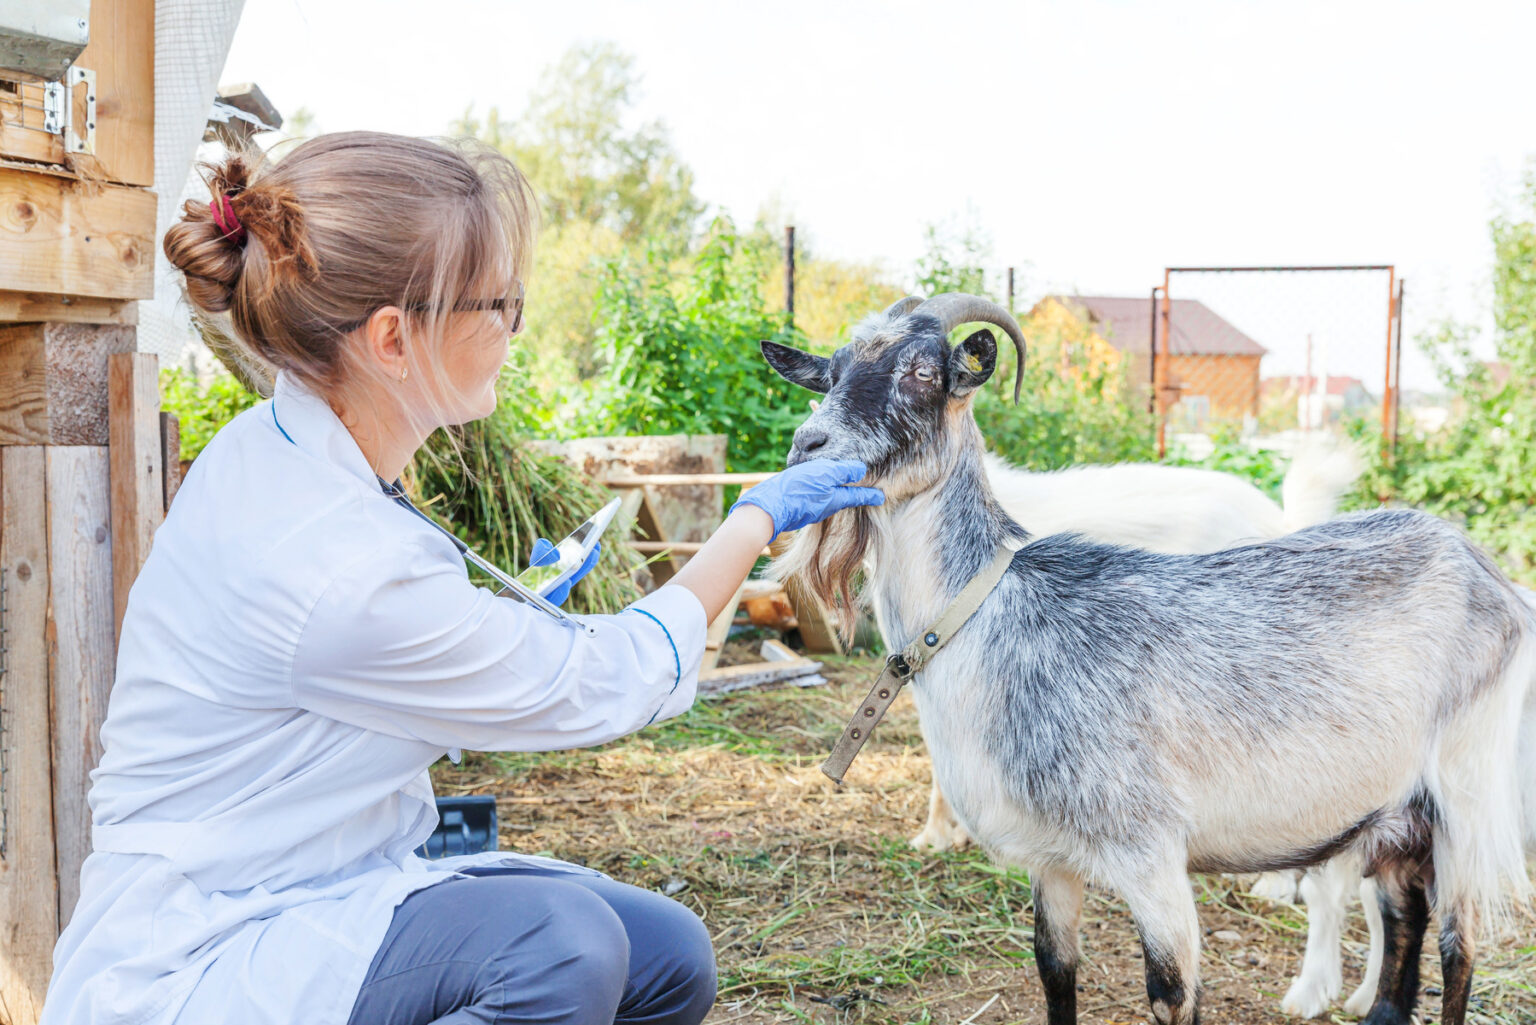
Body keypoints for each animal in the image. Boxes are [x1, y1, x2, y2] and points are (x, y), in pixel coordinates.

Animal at [761, 293, 1533, 1025]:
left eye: (923, 372)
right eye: (831, 371)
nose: (808, 445)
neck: (984, 617)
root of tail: (1481, 566)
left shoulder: (1152, 855)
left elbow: (1170, 994)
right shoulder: (1052, 861)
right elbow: (1055, 973)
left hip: (1464, 793)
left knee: (1459, 944)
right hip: (1395, 815)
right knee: (1405, 917)